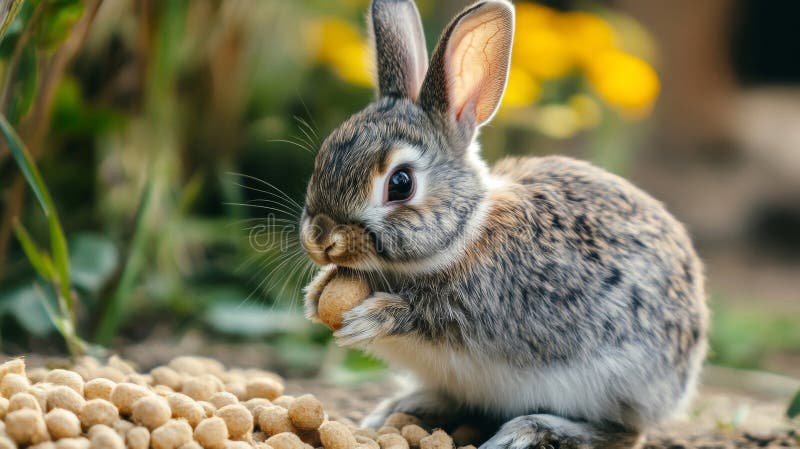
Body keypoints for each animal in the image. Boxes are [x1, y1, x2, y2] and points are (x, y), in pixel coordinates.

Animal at [299, 1, 708, 448]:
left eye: (401, 183)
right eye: (322, 155)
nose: (320, 239)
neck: (466, 232)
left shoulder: (486, 309)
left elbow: (429, 316)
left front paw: (371, 317)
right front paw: (316, 295)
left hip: (616, 382)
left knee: (624, 432)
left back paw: (528, 430)